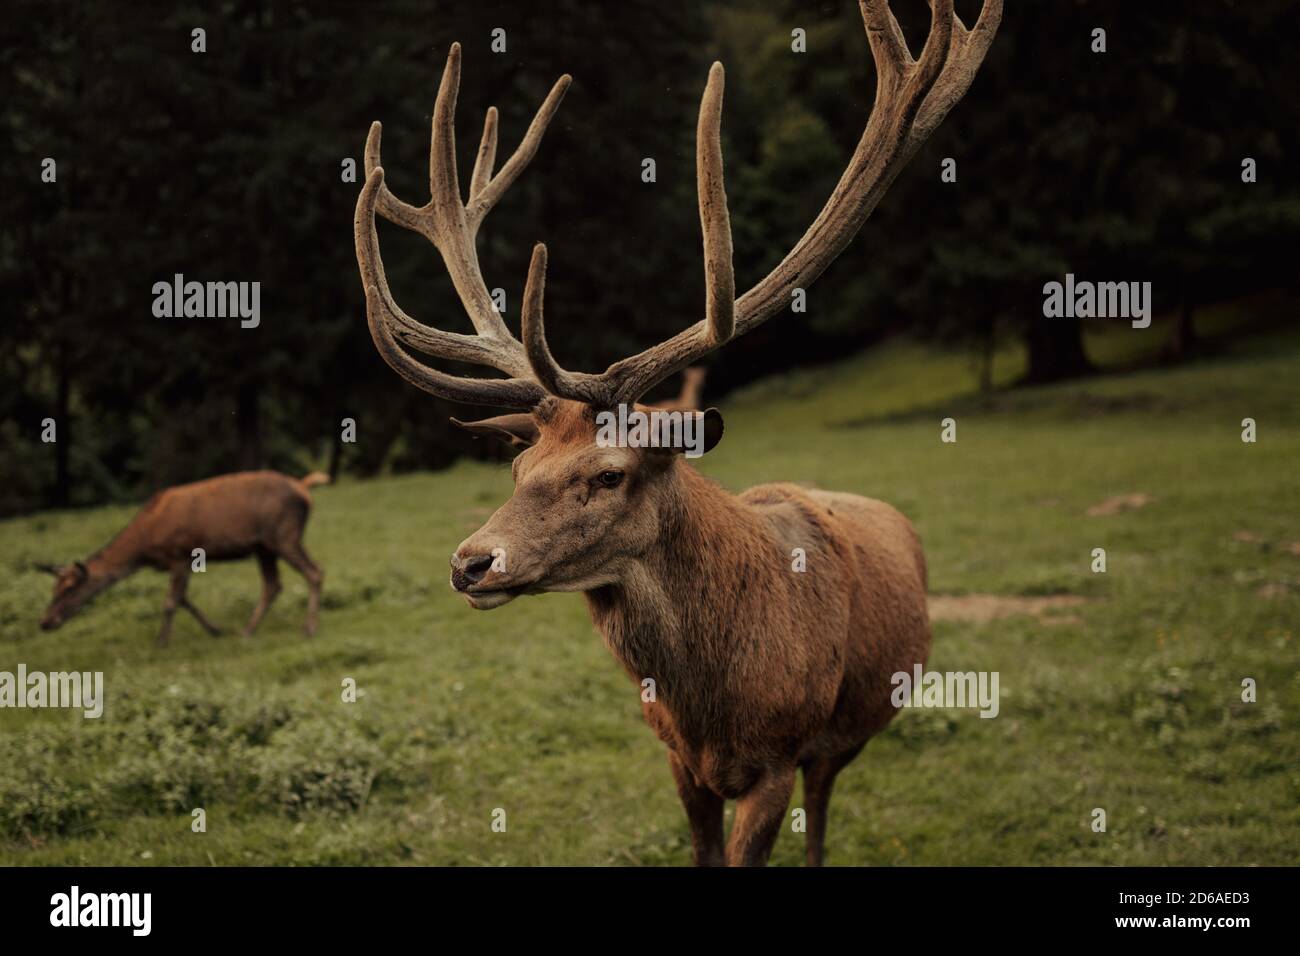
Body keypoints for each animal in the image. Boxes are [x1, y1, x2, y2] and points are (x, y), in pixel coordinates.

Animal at [38, 471, 327, 646]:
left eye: (69, 588)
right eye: (53, 588)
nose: (45, 622)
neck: (145, 546)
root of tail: (304, 488)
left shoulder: (179, 554)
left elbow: (170, 601)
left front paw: (161, 642)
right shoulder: (179, 563)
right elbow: (184, 599)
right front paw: (215, 630)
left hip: (284, 535)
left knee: (314, 571)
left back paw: (309, 628)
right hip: (263, 546)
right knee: (273, 585)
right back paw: (247, 630)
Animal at [354, 0, 999, 865]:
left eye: (609, 473)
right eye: (518, 471)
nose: (471, 563)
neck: (714, 710)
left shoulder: (777, 763)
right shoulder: (676, 762)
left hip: (847, 735)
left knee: (826, 806)